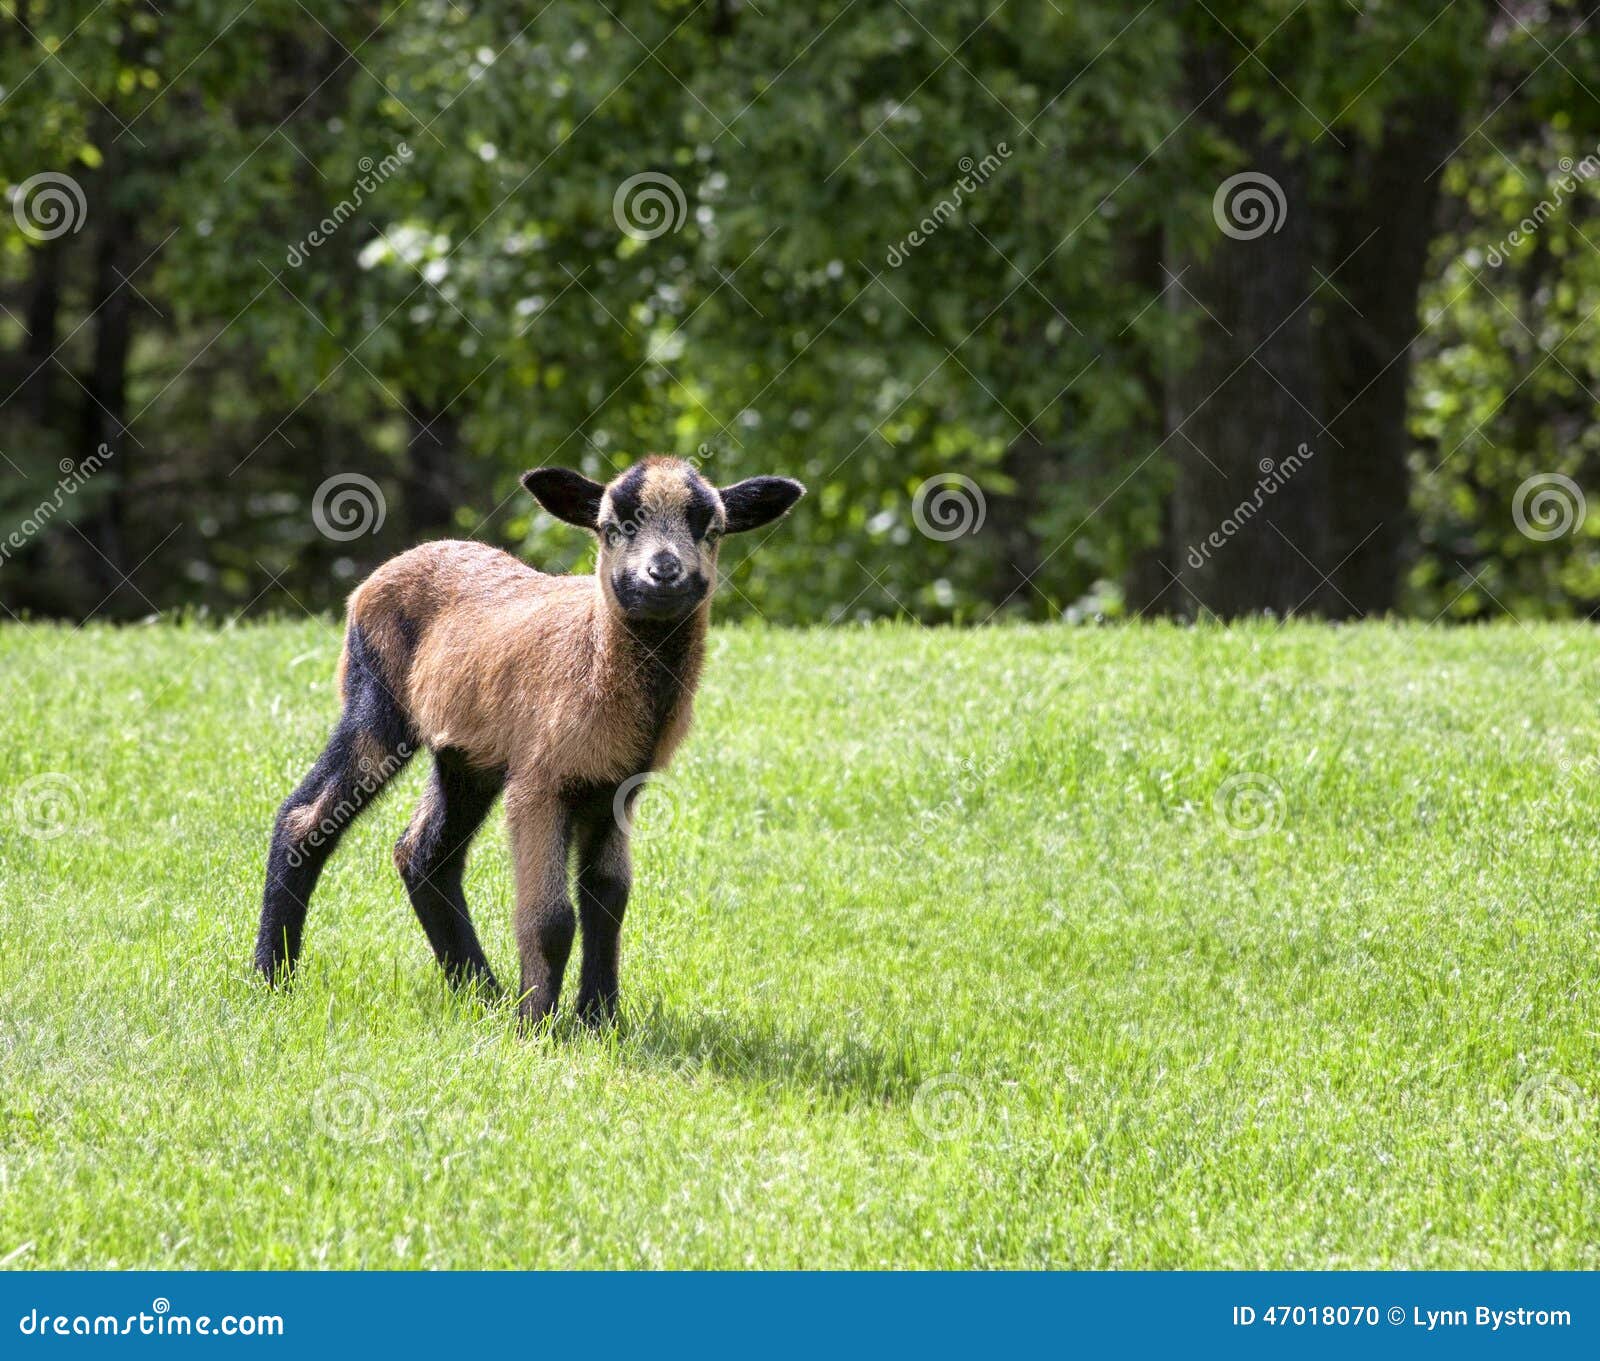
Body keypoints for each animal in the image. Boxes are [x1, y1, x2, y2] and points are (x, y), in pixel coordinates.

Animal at [253, 456, 805, 1024]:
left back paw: (481, 992)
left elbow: (607, 899)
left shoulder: (615, 787)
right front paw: (536, 1025)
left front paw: (599, 1019)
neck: (595, 652)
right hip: (377, 701)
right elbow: (550, 917)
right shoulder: (540, 781)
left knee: (423, 854)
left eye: (711, 530)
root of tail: (384, 573)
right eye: (612, 528)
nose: (663, 573)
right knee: (306, 818)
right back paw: (273, 978)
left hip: (465, 755)